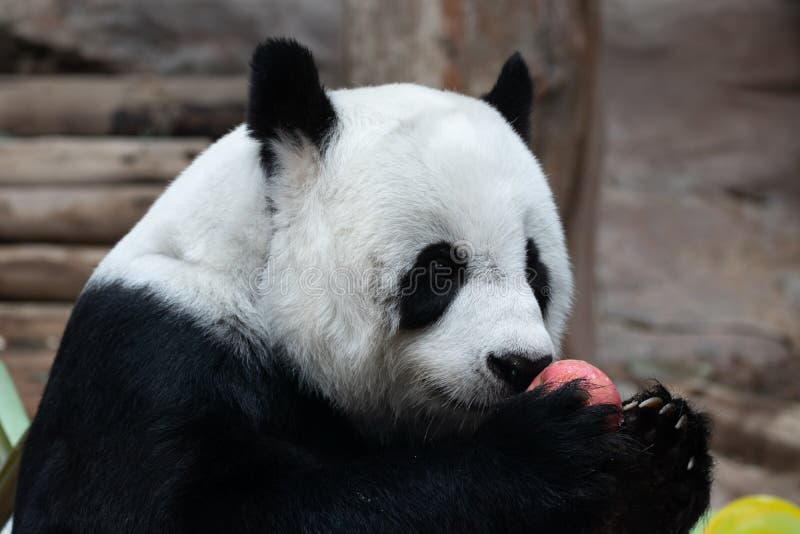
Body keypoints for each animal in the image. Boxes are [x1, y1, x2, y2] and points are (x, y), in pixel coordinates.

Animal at [13, 39, 712, 533]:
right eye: (439, 271)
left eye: (534, 271)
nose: (520, 364)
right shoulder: (149, 353)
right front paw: (548, 448)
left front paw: (662, 445)